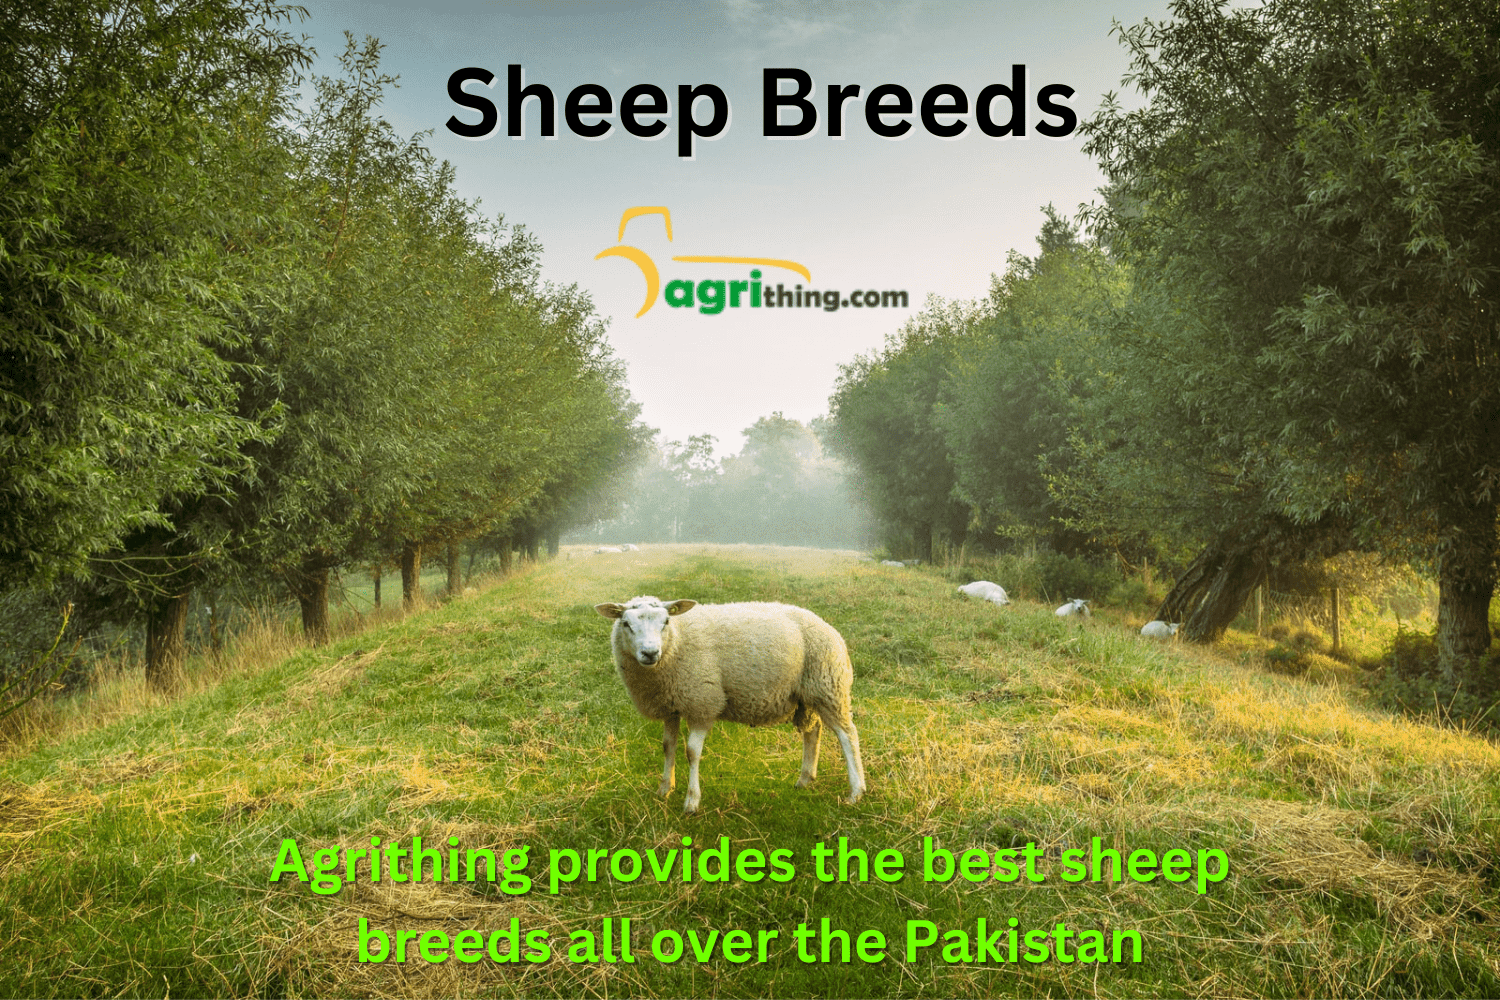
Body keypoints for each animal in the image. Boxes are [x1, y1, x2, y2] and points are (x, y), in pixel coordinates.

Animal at [595, 595, 866, 813]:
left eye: (666, 622)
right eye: (626, 624)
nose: (650, 653)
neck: (677, 642)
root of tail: (827, 626)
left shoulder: (702, 702)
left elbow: (691, 752)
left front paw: (691, 801)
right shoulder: (671, 705)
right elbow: (667, 747)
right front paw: (664, 789)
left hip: (828, 685)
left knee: (848, 735)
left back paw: (856, 791)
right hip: (806, 696)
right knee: (813, 731)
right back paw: (805, 779)